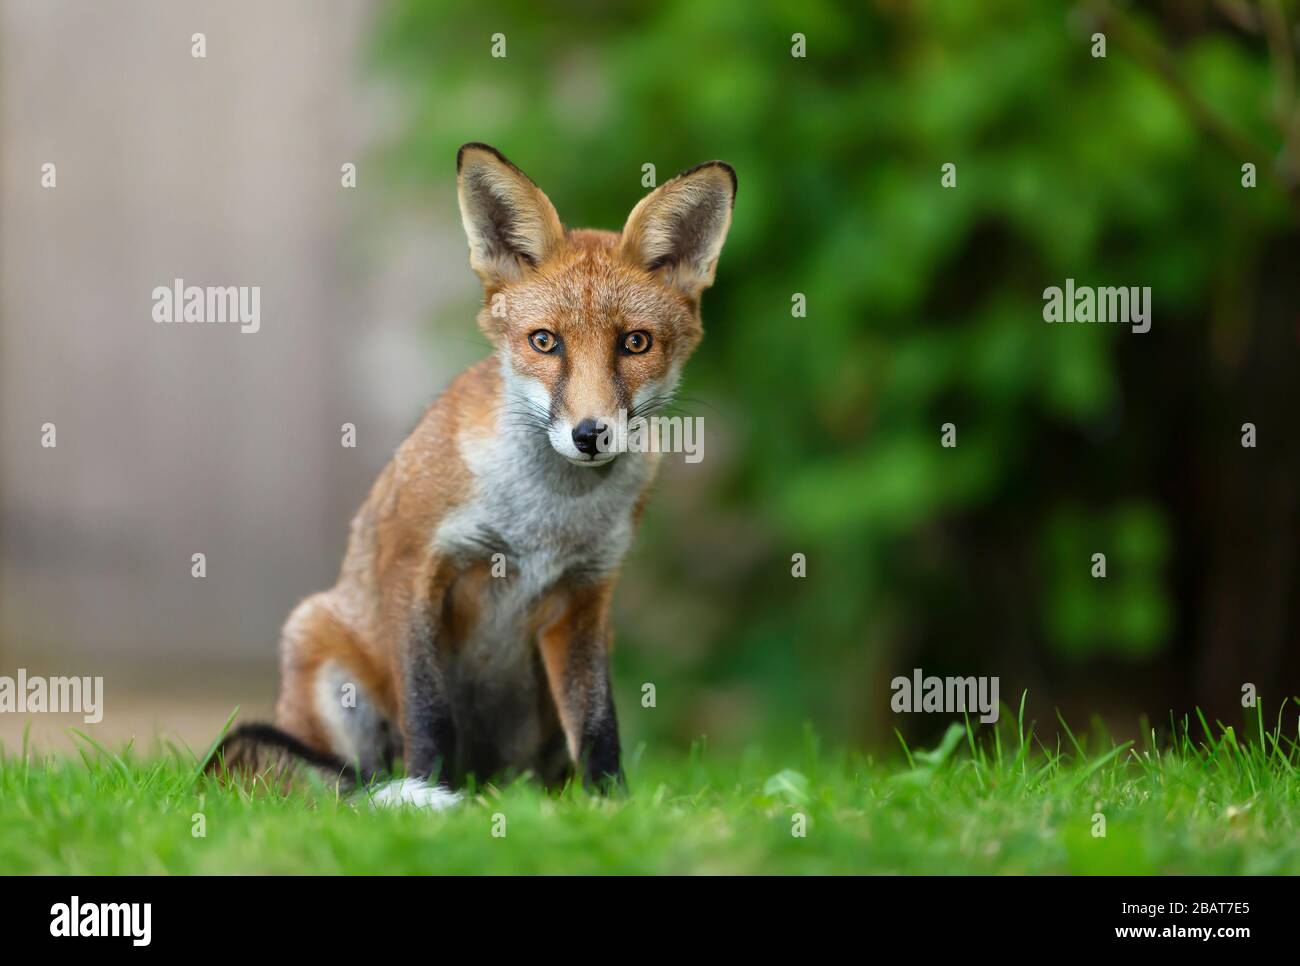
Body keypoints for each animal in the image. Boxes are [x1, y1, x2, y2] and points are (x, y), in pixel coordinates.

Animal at [209, 143, 735, 807]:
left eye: (635, 344)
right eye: (545, 342)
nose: (591, 434)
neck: (546, 518)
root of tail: (493, 779)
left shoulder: (585, 598)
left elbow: (598, 724)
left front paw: (609, 806)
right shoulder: (416, 565)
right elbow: (429, 713)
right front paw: (427, 799)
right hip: (319, 650)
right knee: (341, 779)